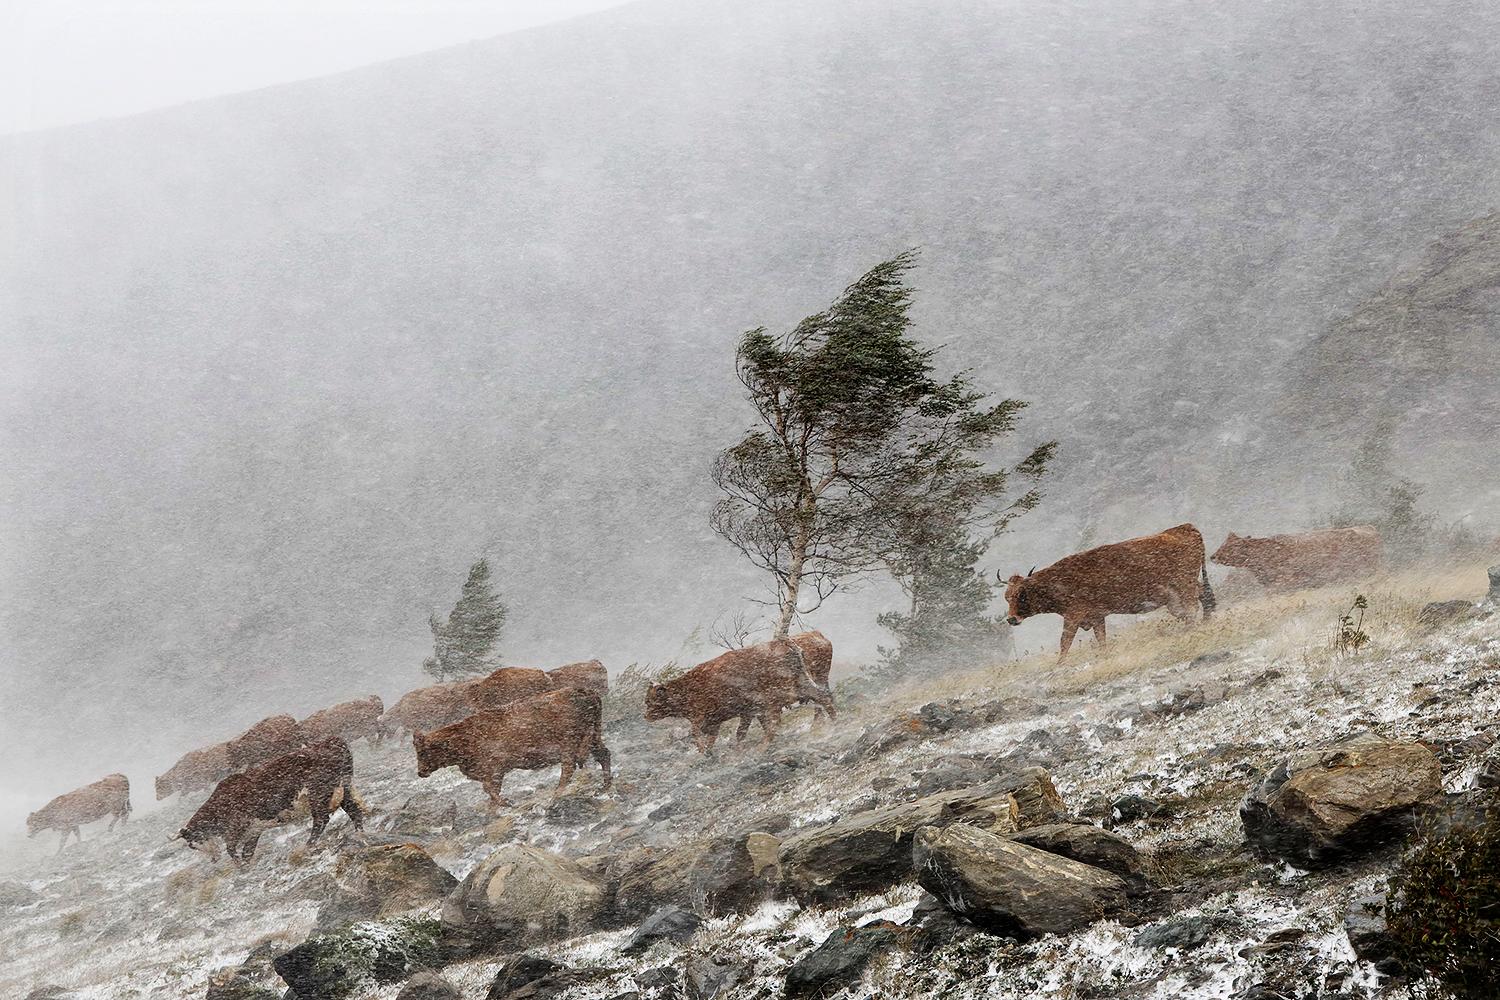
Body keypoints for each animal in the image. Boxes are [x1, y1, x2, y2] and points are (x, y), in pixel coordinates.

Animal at [174, 737, 363, 864]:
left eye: (192, 843)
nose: (213, 859)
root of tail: (331, 741)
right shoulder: (254, 830)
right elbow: (247, 851)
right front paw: (245, 866)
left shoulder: (237, 826)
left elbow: (231, 848)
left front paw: (239, 865)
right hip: (343, 789)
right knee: (354, 810)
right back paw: (359, 833)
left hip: (317, 794)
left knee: (321, 819)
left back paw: (307, 845)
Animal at [412, 687, 612, 809]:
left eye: (422, 751)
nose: (421, 772)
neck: (466, 737)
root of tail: (584, 691)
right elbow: (491, 791)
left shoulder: (495, 768)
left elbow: (489, 788)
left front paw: (507, 803)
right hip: (593, 739)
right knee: (604, 755)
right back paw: (604, 787)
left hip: (569, 745)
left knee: (568, 769)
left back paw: (555, 797)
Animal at [644, 637, 836, 753]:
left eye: (650, 700)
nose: (646, 716)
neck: (690, 687)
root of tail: (787, 645)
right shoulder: (742, 713)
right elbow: (735, 732)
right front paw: (710, 752)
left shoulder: (705, 716)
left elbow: (698, 733)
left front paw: (705, 751)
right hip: (803, 686)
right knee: (823, 698)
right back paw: (834, 721)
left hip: (776, 697)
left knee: (777, 720)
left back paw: (762, 747)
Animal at [1003, 523, 1216, 657]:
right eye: (1007, 597)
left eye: (1022, 595)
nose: (1011, 619)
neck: (1058, 581)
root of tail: (1184, 527)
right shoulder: (1096, 616)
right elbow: (1101, 638)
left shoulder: (1073, 615)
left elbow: (1065, 642)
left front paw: (1059, 664)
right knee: (1203, 598)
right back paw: (1205, 621)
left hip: (1184, 585)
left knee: (1192, 607)